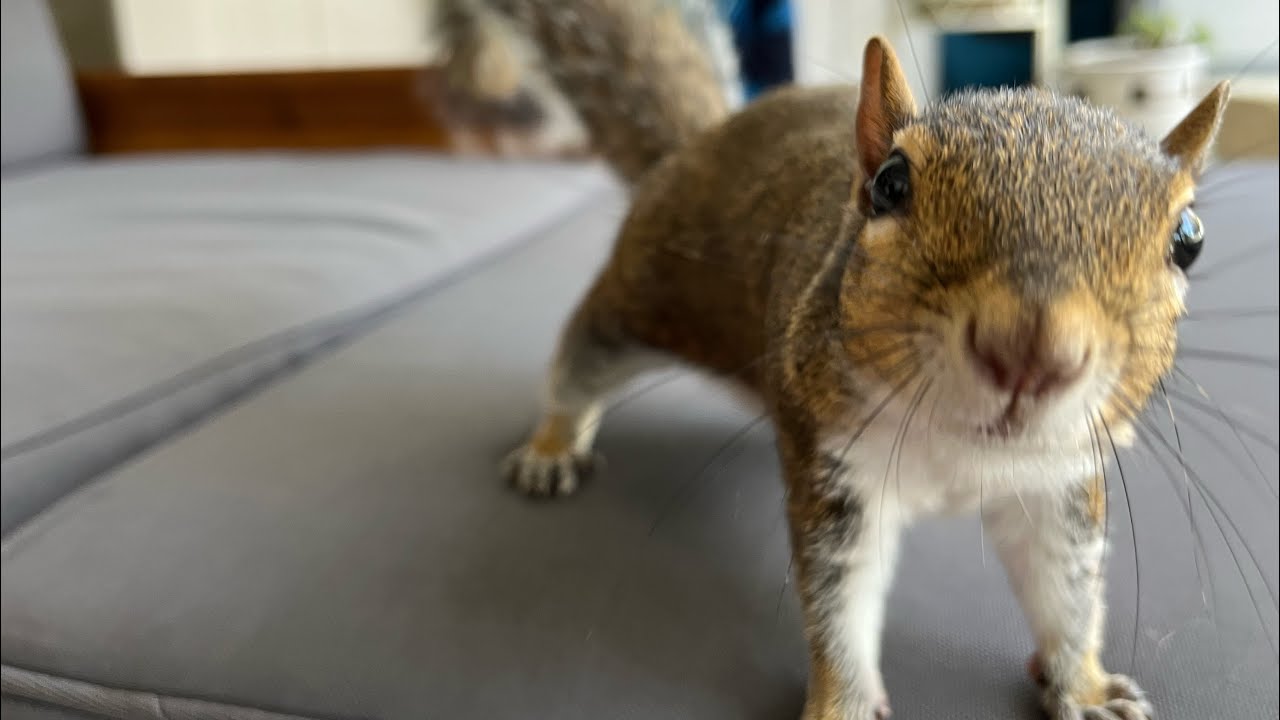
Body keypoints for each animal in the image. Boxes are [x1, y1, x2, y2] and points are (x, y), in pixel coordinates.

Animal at [436, 2, 1230, 718]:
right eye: (891, 184)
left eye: (1189, 238)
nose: (1032, 356)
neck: (960, 451)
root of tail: (706, 139)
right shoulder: (840, 470)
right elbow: (839, 599)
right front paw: (841, 704)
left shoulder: (1056, 481)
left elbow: (1064, 590)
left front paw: (1084, 688)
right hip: (643, 298)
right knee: (581, 358)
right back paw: (551, 445)